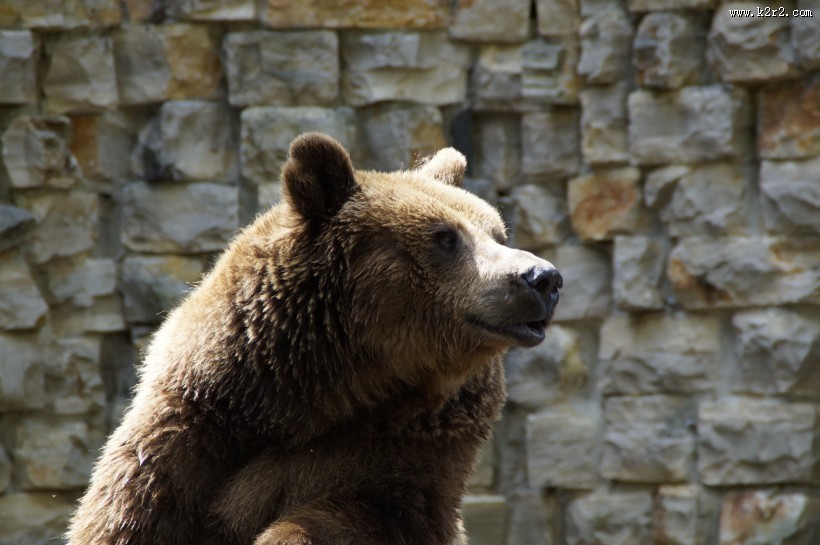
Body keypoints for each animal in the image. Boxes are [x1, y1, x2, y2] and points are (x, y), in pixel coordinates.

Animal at [68, 133, 562, 545]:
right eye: (445, 237)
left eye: (498, 232)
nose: (543, 277)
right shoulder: (191, 439)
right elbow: (129, 517)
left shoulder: (404, 459)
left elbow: (350, 519)